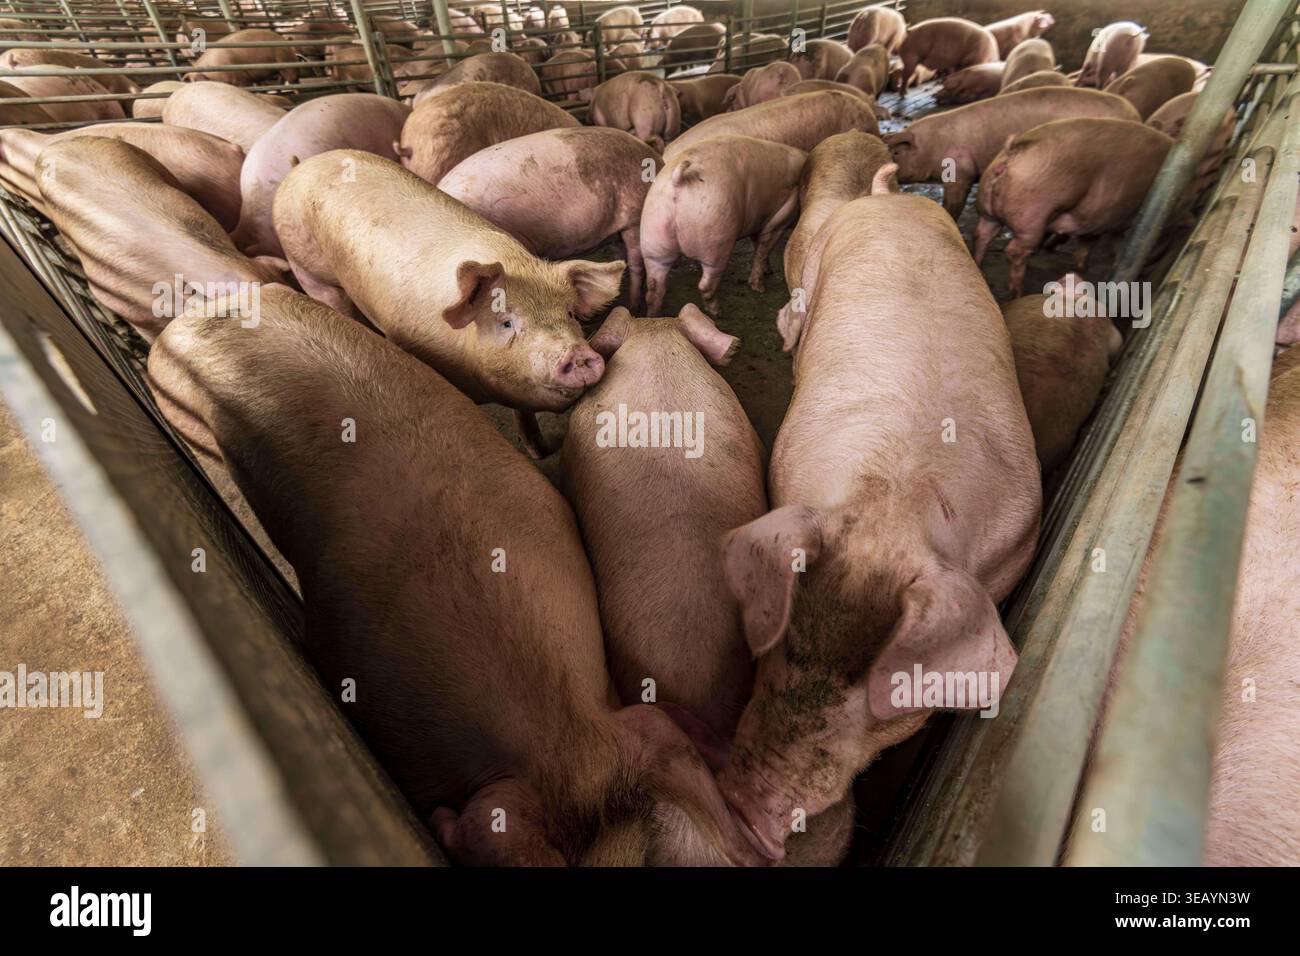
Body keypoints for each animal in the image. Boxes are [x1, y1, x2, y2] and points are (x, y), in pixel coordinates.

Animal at [272, 150, 623, 456]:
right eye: (506, 322)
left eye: (570, 314)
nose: (576, 353)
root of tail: (299, 166)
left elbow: (523, 409)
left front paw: (539, 452)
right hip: (306, 267)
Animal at [642, 134, 805, 316]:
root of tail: (679, 179)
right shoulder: (782, 213)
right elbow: (763, 246)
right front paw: (760, 288)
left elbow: (757, 244)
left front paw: (768, 271)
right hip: (716, 235)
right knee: (706, 284)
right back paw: (717, 312)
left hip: (653, 233)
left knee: (654, 287)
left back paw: (653, 315)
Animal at [974, 118, 1175, 297]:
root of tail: (1013, 148)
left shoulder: (1098, 223)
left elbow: (1088, 246)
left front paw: (1081, 267)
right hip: (1032, 215)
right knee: (1015, 251)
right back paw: (1019, 293)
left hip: (988, 210)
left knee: (982, 234)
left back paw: (981, 269)